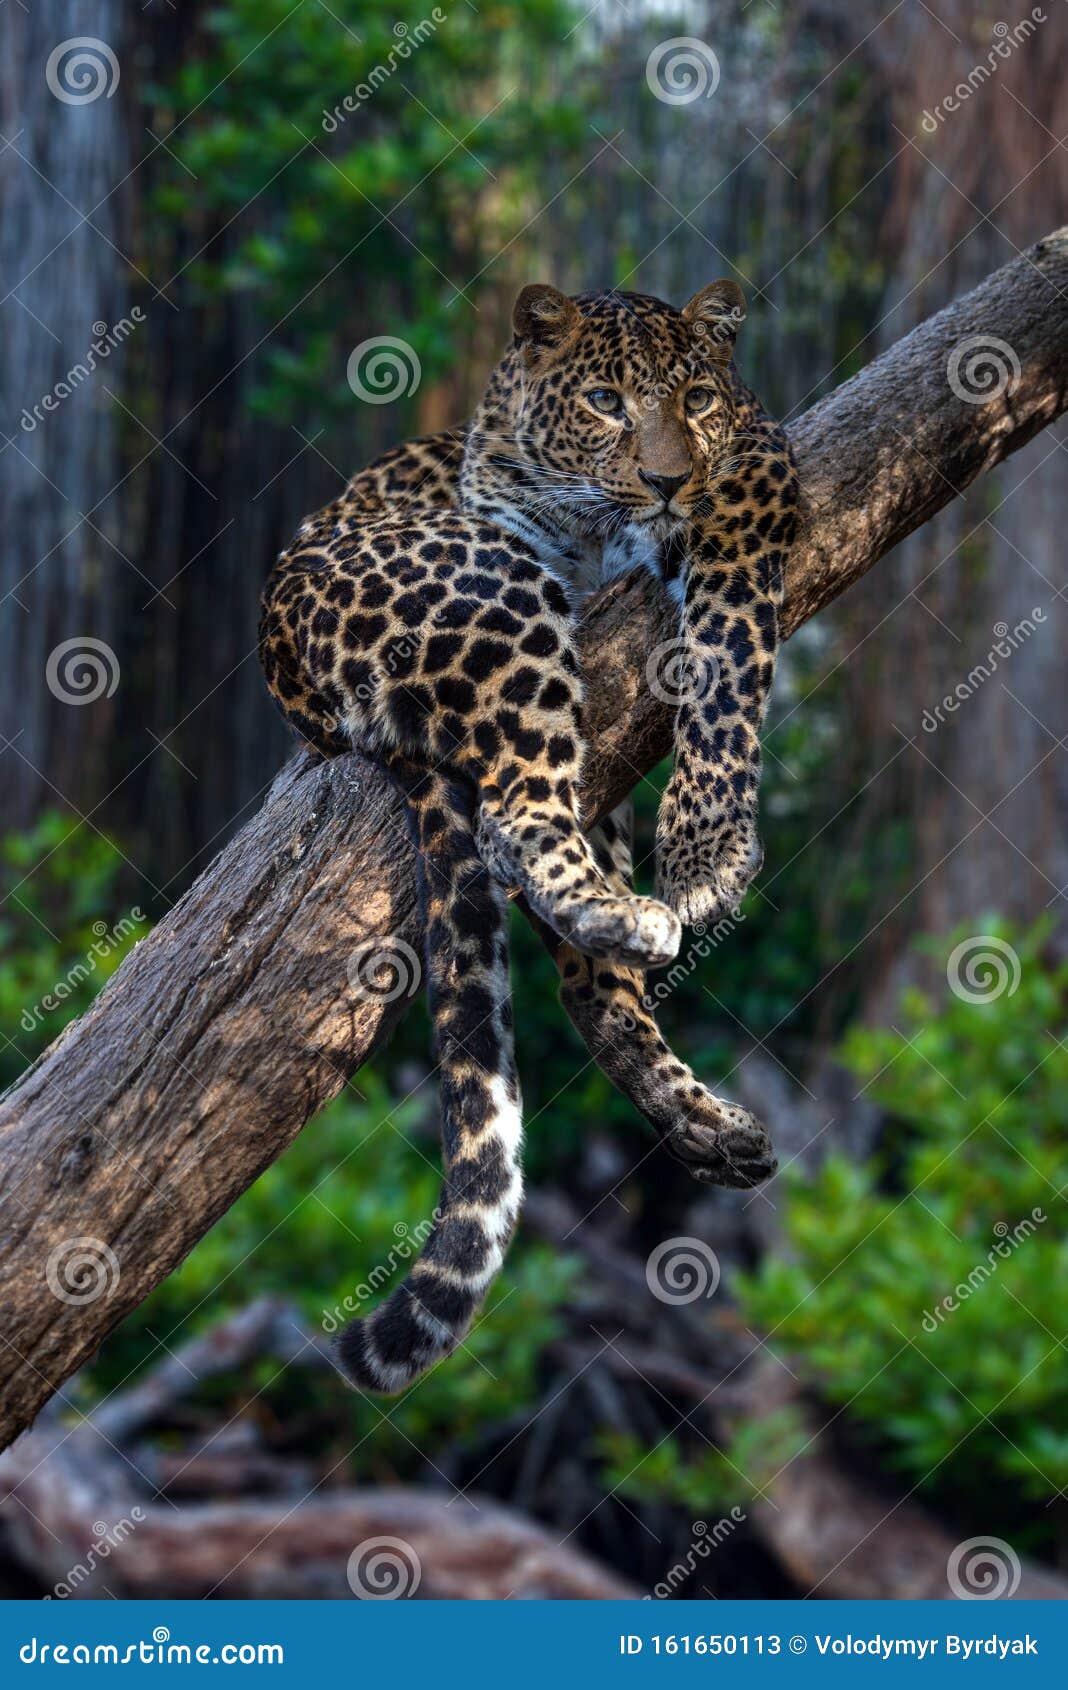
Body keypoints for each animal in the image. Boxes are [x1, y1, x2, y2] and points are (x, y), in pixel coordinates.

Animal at [259, 279, 801, 1394]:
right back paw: (622, 912)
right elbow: (725, 652)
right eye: (602, 401)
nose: (666, 480)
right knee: (517, 820)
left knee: (590, 977)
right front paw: (709, 856)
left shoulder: (750, 456)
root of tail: (293, 679)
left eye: (693, 396)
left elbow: (727, 641)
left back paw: (700, 1113)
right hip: (496, 596)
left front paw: (704, 849)